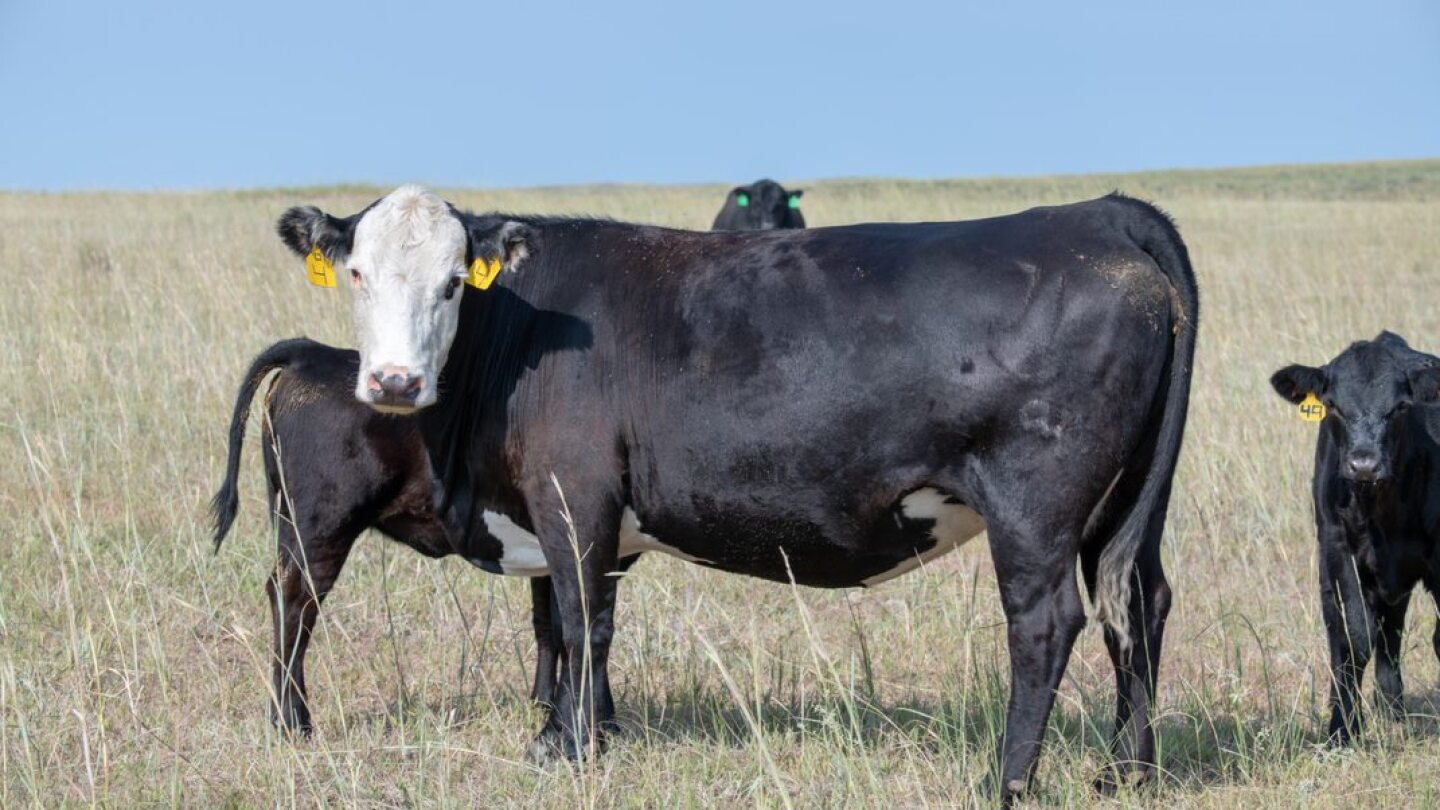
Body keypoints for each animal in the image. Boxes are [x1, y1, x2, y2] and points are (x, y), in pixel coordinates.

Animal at [210, 337, 597, 732]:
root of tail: (313, 352)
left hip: (290, 523)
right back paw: (292, 721)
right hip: (322, 527)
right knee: (294, 600)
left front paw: (544, 703)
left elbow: (549, 622)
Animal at [273, 185, 1198, 803]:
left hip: (1035, 506)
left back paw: (1005, 781)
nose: (394, 382)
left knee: (1046, 623)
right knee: (1137, 604)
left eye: (454, 282)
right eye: (356, 272)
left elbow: (577, 620)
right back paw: (1127, 774)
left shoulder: (574, 496)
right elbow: (576, 625)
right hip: (1125, 506)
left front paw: (571, 746)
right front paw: (582, 732)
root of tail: (1097, 211)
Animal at [1270, 332, 1440, 745]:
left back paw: (1393, 712)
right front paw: (1343, 731)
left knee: (1390, 636)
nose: (1364, 463)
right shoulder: (1339, 550)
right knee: (1348, 636)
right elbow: (1355, 639)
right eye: (1333, 406)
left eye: (1400, 407)